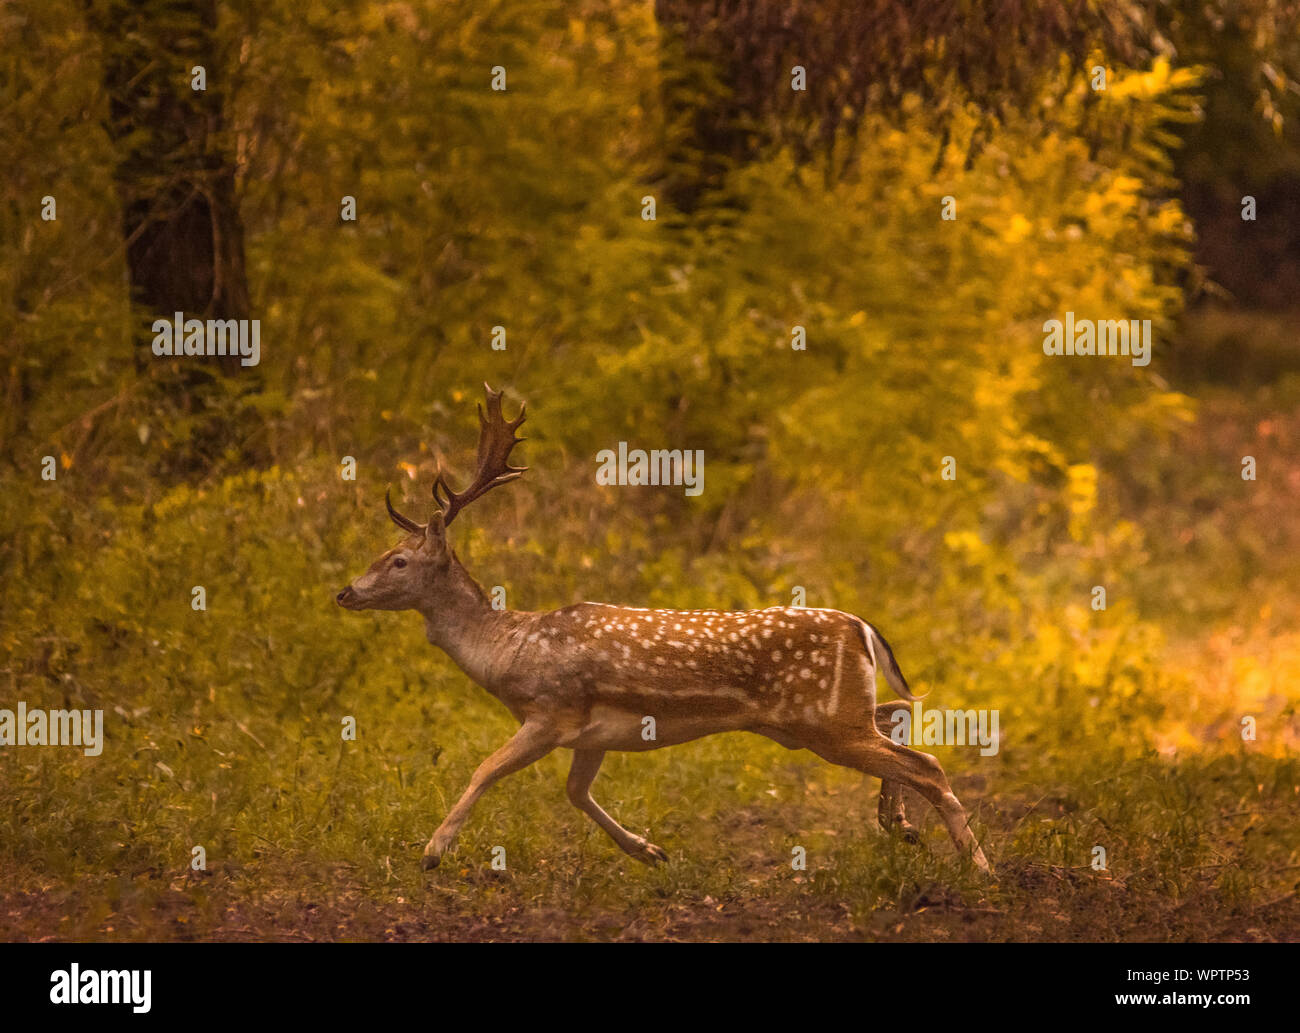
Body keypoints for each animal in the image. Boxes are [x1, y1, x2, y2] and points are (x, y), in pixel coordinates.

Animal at [337, 384, 991, 874]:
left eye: (399, 560)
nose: (345, 591)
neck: (509, 652)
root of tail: (861, 625)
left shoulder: (552, 712)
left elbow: (485, 770)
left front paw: (432, 852)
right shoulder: (592, 732)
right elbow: (575, 792)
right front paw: (649, 851)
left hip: (824, 721)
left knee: (926, 763)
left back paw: (977, 866)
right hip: (824, 717)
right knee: (899, 717)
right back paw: (900, 827)